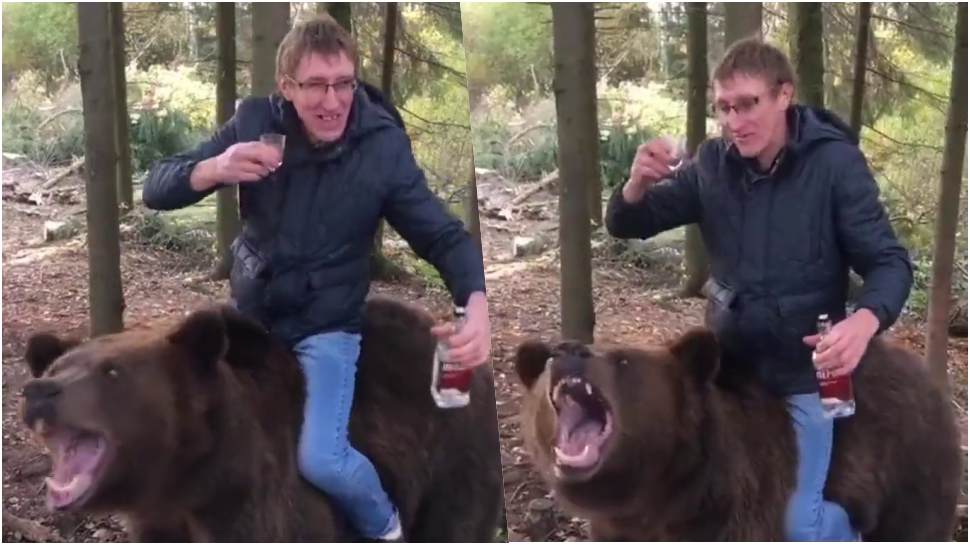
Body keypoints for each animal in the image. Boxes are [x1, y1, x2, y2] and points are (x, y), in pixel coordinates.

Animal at [20, 296, 504, 542]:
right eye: (56, 365)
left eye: (112, 371)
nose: (39, 392)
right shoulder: (161, 524)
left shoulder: (262, 508)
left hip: (452, 460)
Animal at [514, 328, 962, 541]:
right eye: (549, 358)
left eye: (622, 360)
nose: (567, 350)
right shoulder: (619, 529)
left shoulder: (733, 512)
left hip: (912, 471)